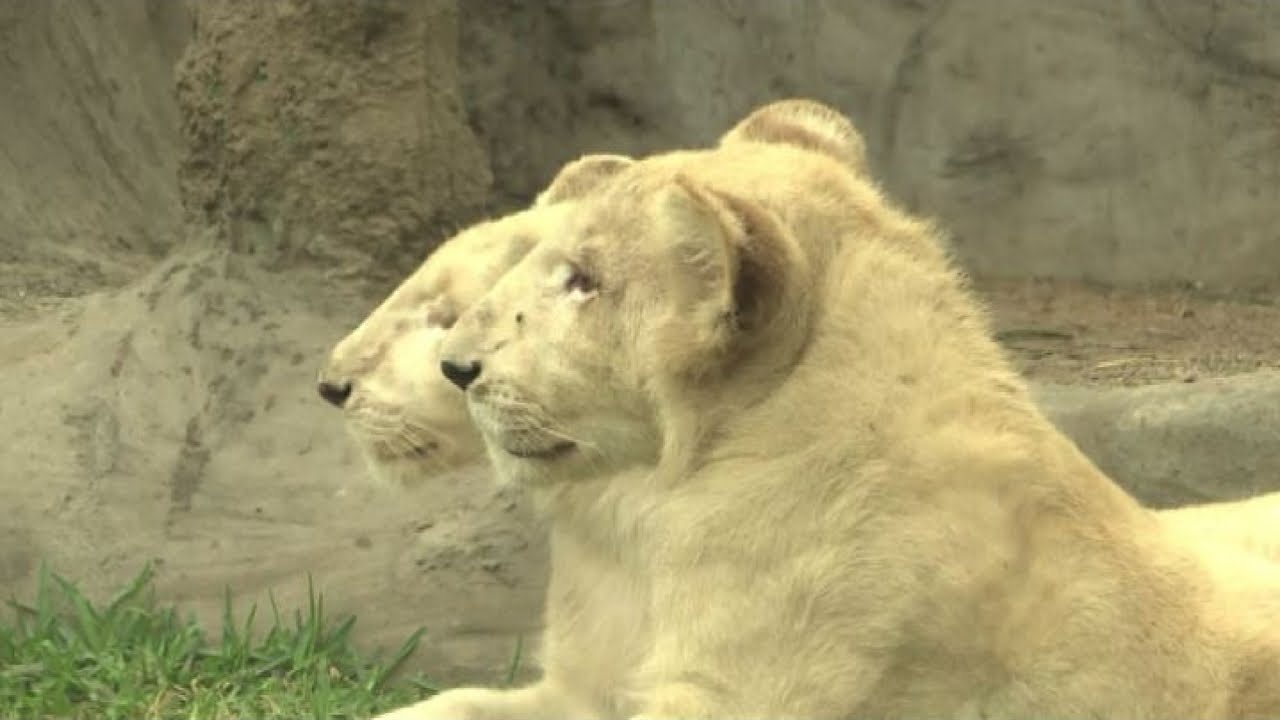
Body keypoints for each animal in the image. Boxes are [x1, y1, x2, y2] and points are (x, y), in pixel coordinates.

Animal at [406, 102, 1280, 718]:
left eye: (584, 279)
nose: (457, 366)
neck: (655, 511)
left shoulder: (742, 693)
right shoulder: (586, 683)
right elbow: (442, 704)